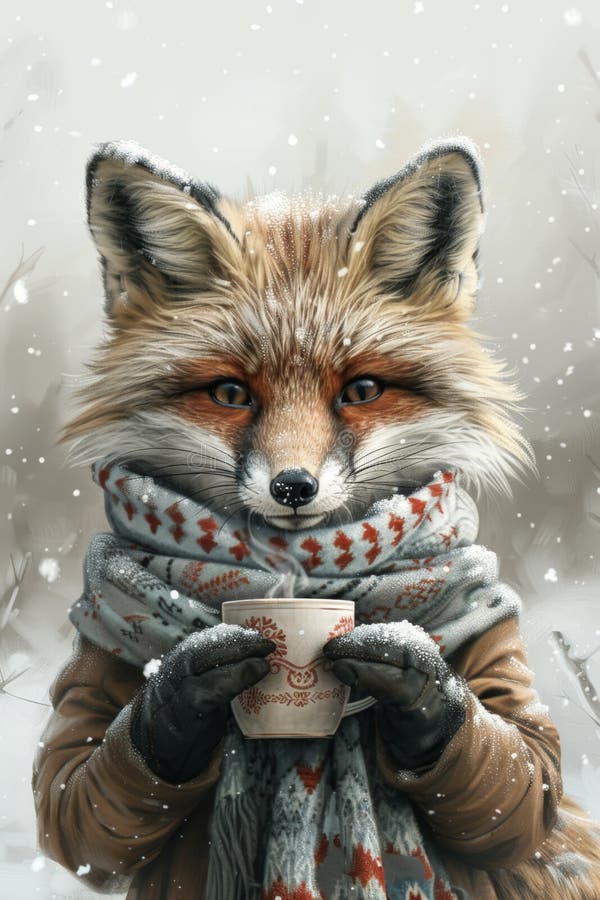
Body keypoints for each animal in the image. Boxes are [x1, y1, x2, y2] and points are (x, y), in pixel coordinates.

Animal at [31, 138, 600, 900]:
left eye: (360, 390)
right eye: (231, 393)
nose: (294, 486)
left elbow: (528, 780)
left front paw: (411, 682)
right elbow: (72, 801)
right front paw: (187, 688)